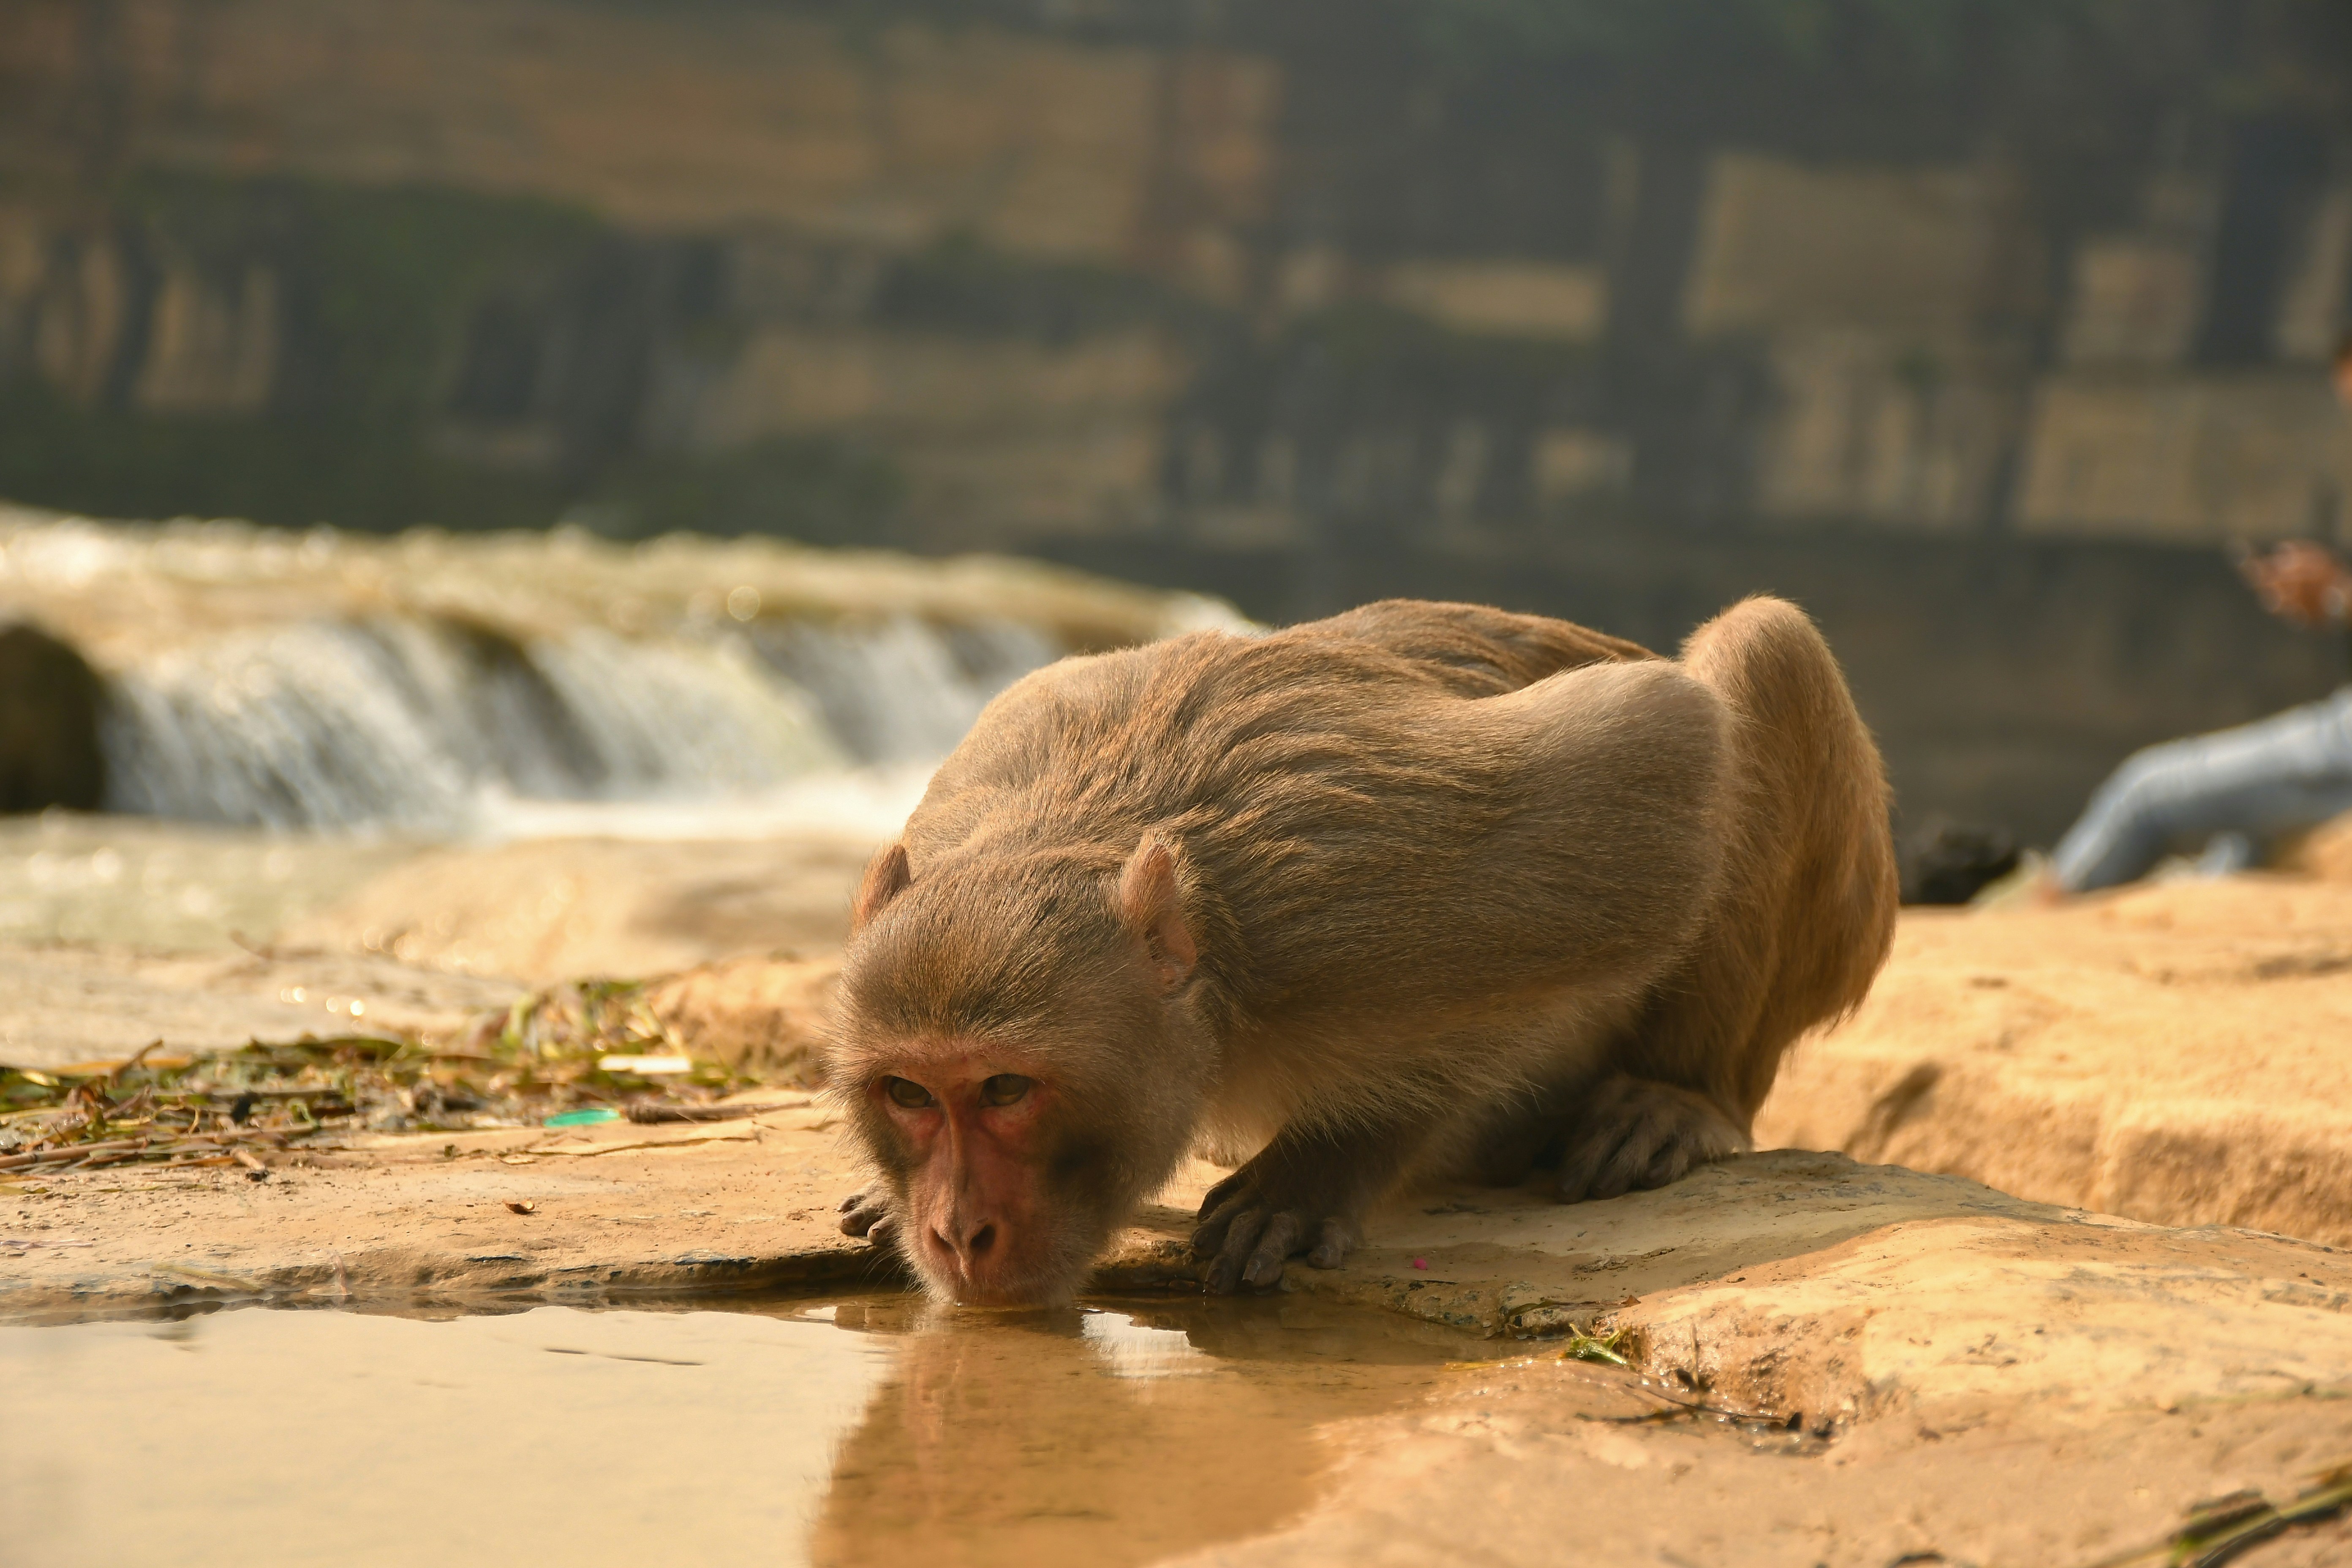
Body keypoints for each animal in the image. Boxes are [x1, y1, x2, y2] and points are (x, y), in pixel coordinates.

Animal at [826, 597, 1897, 1306]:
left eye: (1006, 1089)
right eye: (910, 1094)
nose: (955, 1231)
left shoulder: (1358, 895)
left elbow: (1664, 742)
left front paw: (1319, 1172)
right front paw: (892, 1198)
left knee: (1766, 644)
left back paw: (1681, 1097)